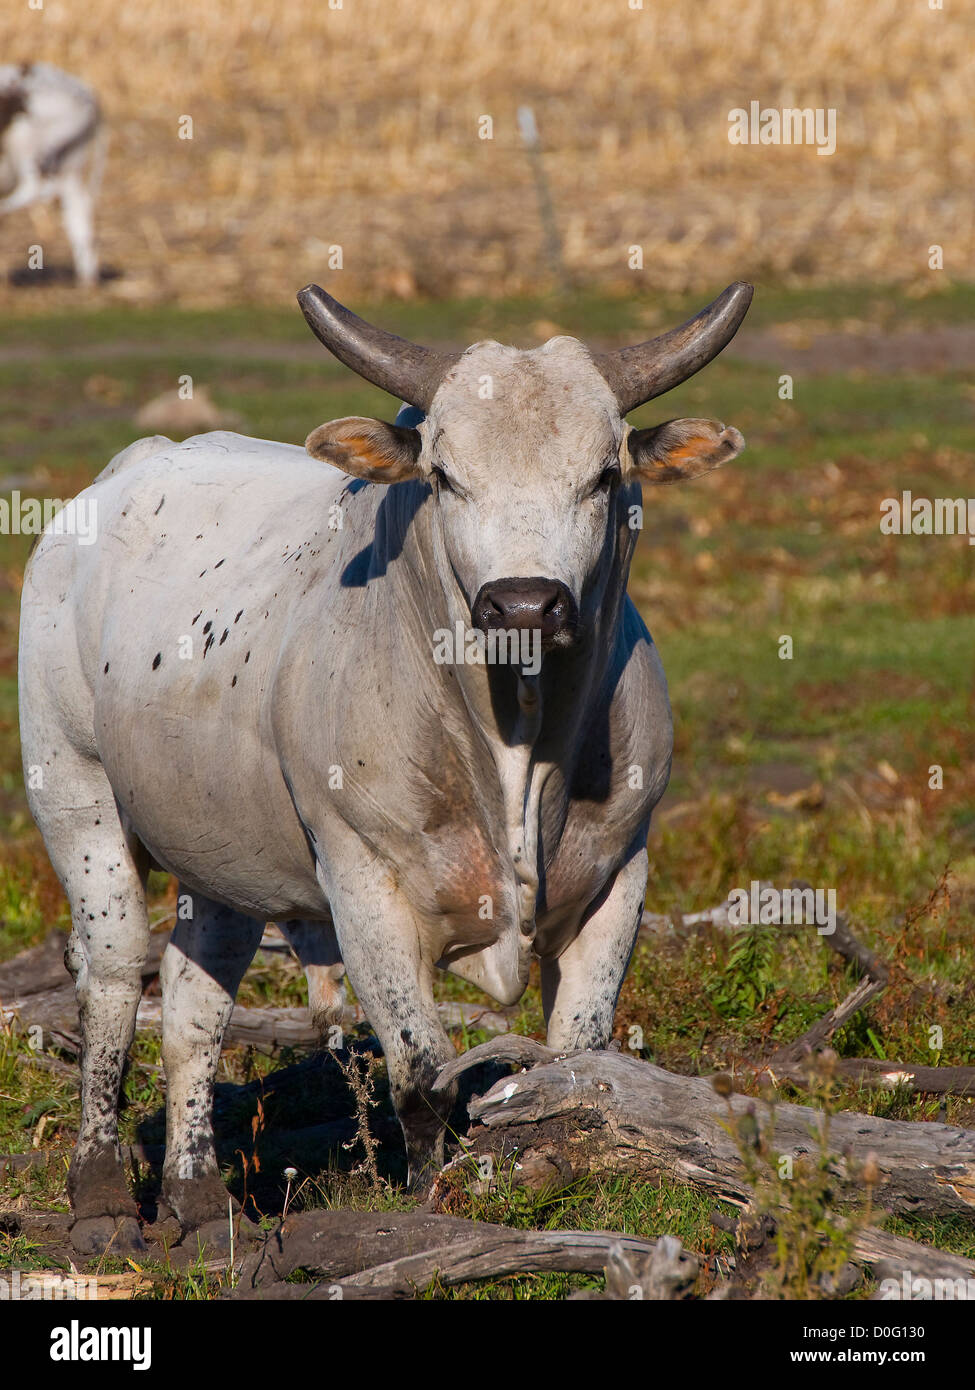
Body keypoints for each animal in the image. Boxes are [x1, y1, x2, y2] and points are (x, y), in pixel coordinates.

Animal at [19, 281, 752, 1253]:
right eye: (443, 475)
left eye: (604, 474)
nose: (524, 603)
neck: (512, 747)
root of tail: (123, 472)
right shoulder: (364, 883)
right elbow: (421, 1074)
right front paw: (432, 1206)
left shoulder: (619, 876)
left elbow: (581, 1062)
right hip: (75, 791)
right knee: (107, 978)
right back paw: (100, 1199)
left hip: (217, 844)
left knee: (192, 1001)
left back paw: (198, 1200)